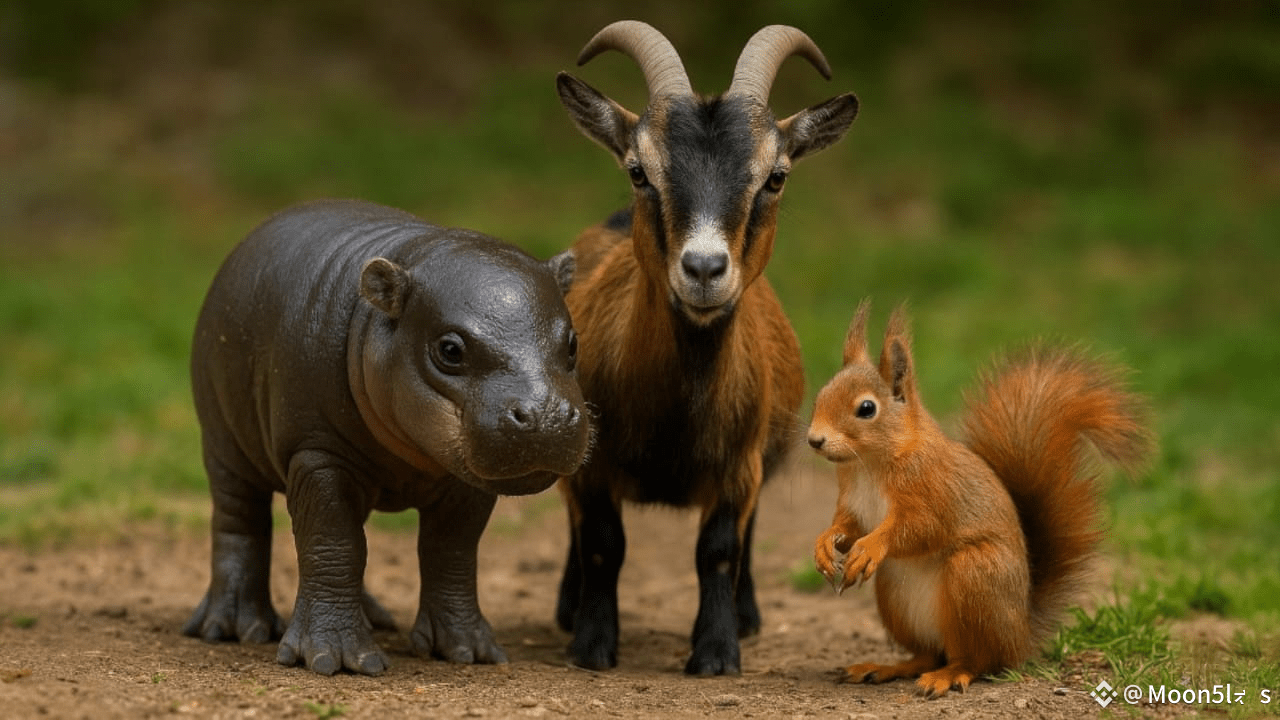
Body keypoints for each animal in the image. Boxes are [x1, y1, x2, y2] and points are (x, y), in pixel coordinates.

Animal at [553, 21, 858, 675]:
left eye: (776, 176)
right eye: (638, 170)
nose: (703, 268)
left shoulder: (738, 465)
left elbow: (718, 548)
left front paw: (717, 652)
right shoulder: (592, 466)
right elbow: (602, 545)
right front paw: (592, 645)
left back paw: (747, 616)